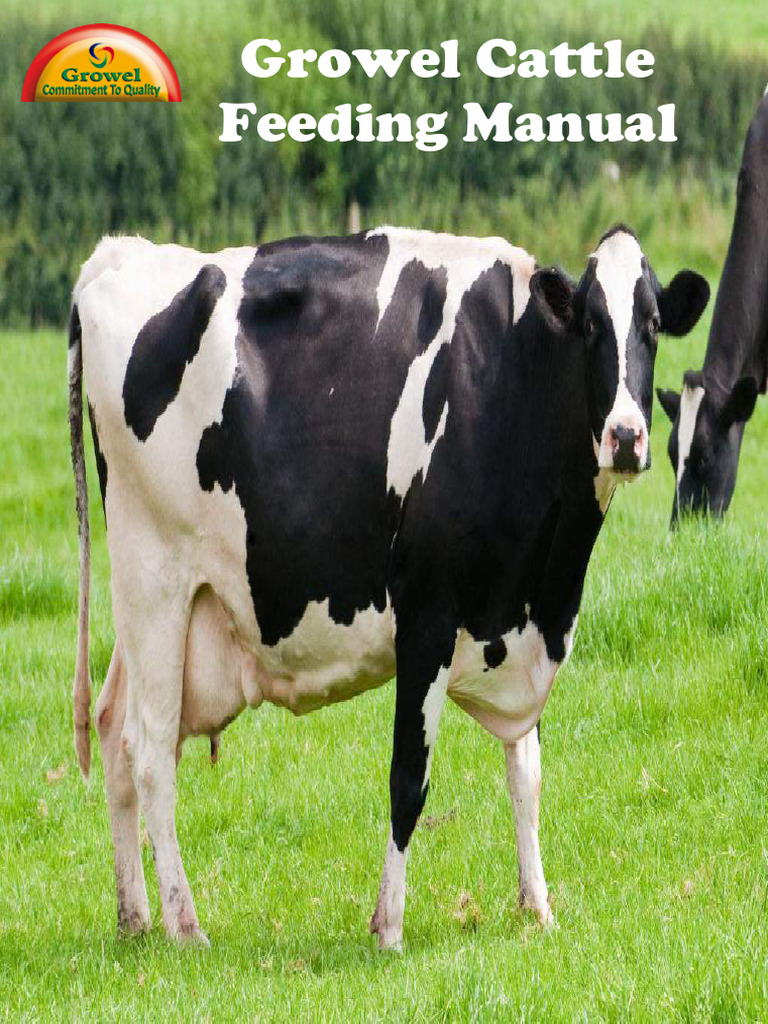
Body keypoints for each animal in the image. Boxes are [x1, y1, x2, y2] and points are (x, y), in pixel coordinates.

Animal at [69, 225, 709, 949]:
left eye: (653, 327)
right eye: (593, 326)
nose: (625, 437)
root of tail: (120, 253)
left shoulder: (516, 610)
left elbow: (526, 774)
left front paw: (537, 907)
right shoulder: (427, 614)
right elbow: (410, 779)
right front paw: (390, 928)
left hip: (157, 606)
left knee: (113, 728)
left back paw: (135, 919)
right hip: (155, 579)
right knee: (150, 751)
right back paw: (184, 926)